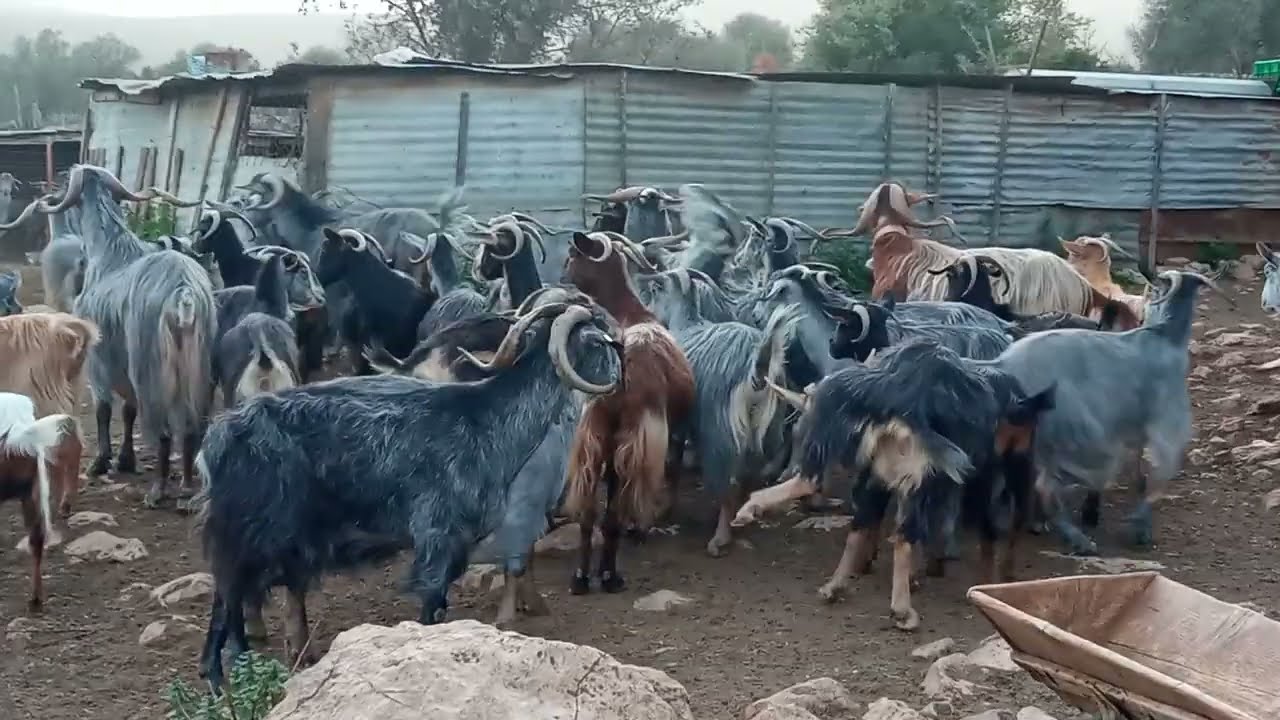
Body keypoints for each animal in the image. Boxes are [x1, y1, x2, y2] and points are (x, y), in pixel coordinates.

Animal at [9, 164, 213, 508]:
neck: (109, 255)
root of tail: (183, 292)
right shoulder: (123, 364)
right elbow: (128, 411)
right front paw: (126, 460)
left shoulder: (99, 360)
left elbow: (104, 409)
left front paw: (100, 462)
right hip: (196, 368)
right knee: (191, 427)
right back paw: (186, 489)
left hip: (152, 367)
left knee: (163, 428)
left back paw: (158, 491)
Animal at [194, 300, 623, 689]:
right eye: (602, 337)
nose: (621, 369)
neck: (487, 418)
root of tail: (216, 441)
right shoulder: (436, 536)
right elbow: (431, 606)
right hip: (249, 530)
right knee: (227, 595)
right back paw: (222, 676)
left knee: (230, 597)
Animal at [562, 230, 696, 594]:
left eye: (572, 255)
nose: (563, 275)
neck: (635, 315)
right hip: (631, 442)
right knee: (614, 514)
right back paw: (611, 576)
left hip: (594, 440)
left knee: (589, 513)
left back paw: (581, 578)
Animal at [992, 270, 1231, 555]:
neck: (1163, 337)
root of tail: (1003, 365)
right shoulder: (1166, 424)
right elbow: (1159, 476)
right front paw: (1140, 527)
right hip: (1082, 441)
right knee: (1047, 486)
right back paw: (1079, 539)